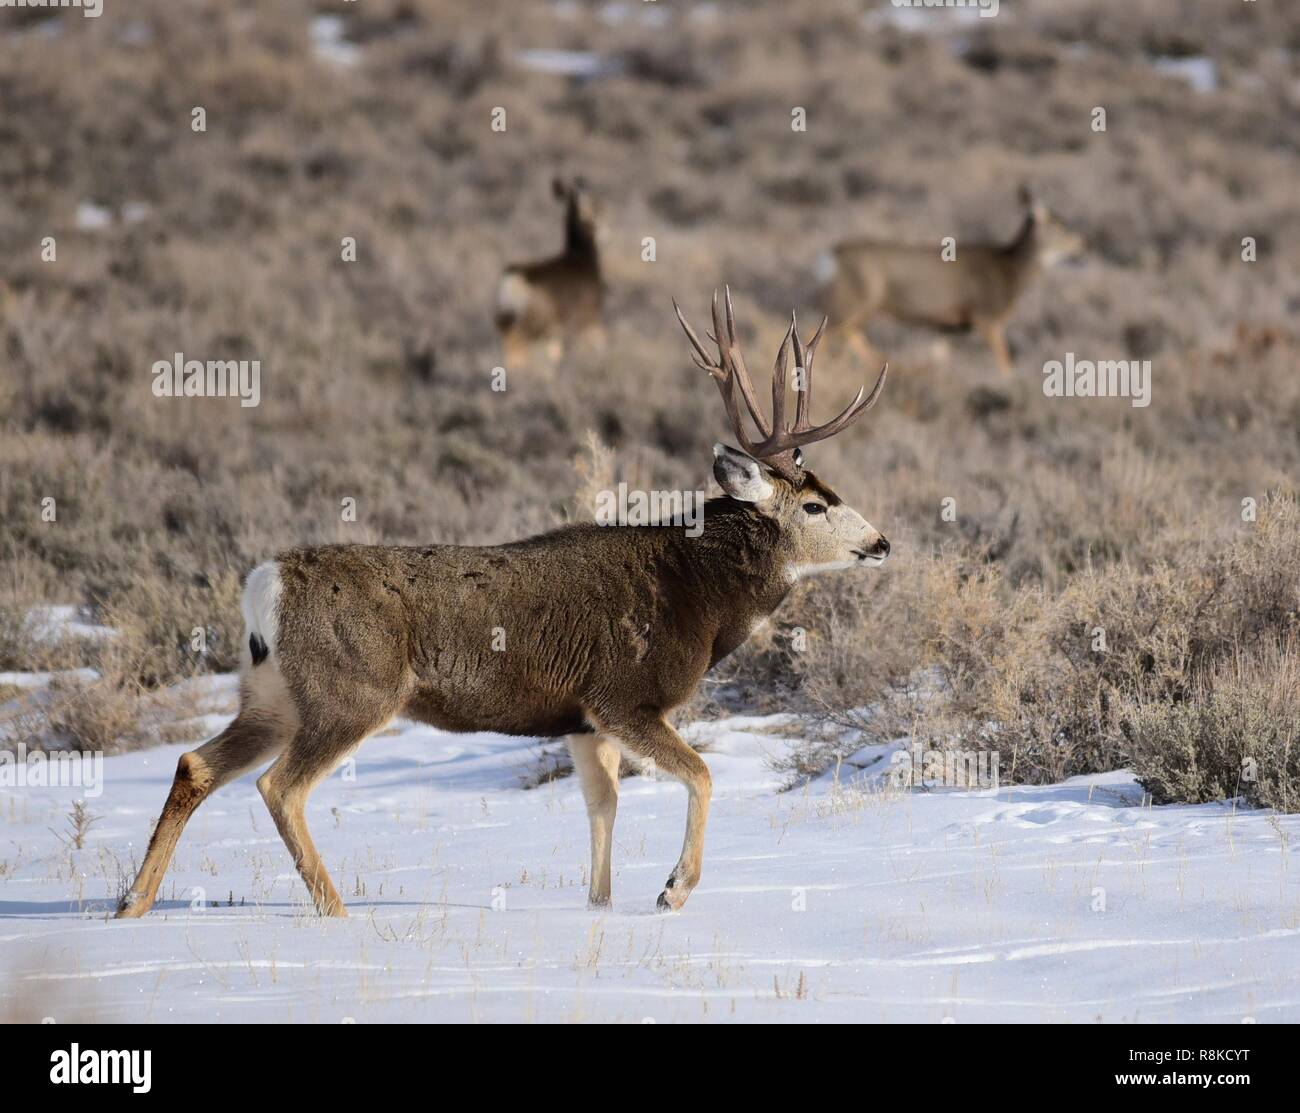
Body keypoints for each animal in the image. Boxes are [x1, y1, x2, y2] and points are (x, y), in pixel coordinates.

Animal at [115, 289, 889, 920]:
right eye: (816, 504)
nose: (881, 542)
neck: (695, 592)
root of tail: (266, 581)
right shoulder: (624, 696)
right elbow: (699, 773)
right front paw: (672, 890)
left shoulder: (580, 718)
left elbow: (602, 807)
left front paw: (600, 906)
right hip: (351, 689)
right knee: (279, 786)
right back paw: (334, 910)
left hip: (274, 689)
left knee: (195, 764)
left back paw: (132, 905)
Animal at [494, 176, 605, 366]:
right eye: (593, 204)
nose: (602, 228)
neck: (579, 257)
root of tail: (515, 277)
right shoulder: (591, 315)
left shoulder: (557, 329)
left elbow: (555, 353)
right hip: (534, 325)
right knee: (515, 343)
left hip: (508, 320)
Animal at [813, 187, 1083, 376]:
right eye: (1061, 225)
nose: (1082, 243)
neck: (1010, 270)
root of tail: (833, 254)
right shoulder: (986, 317)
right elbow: (1005, 363)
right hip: (850, 301)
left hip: (863, 308)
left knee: (852, 335)